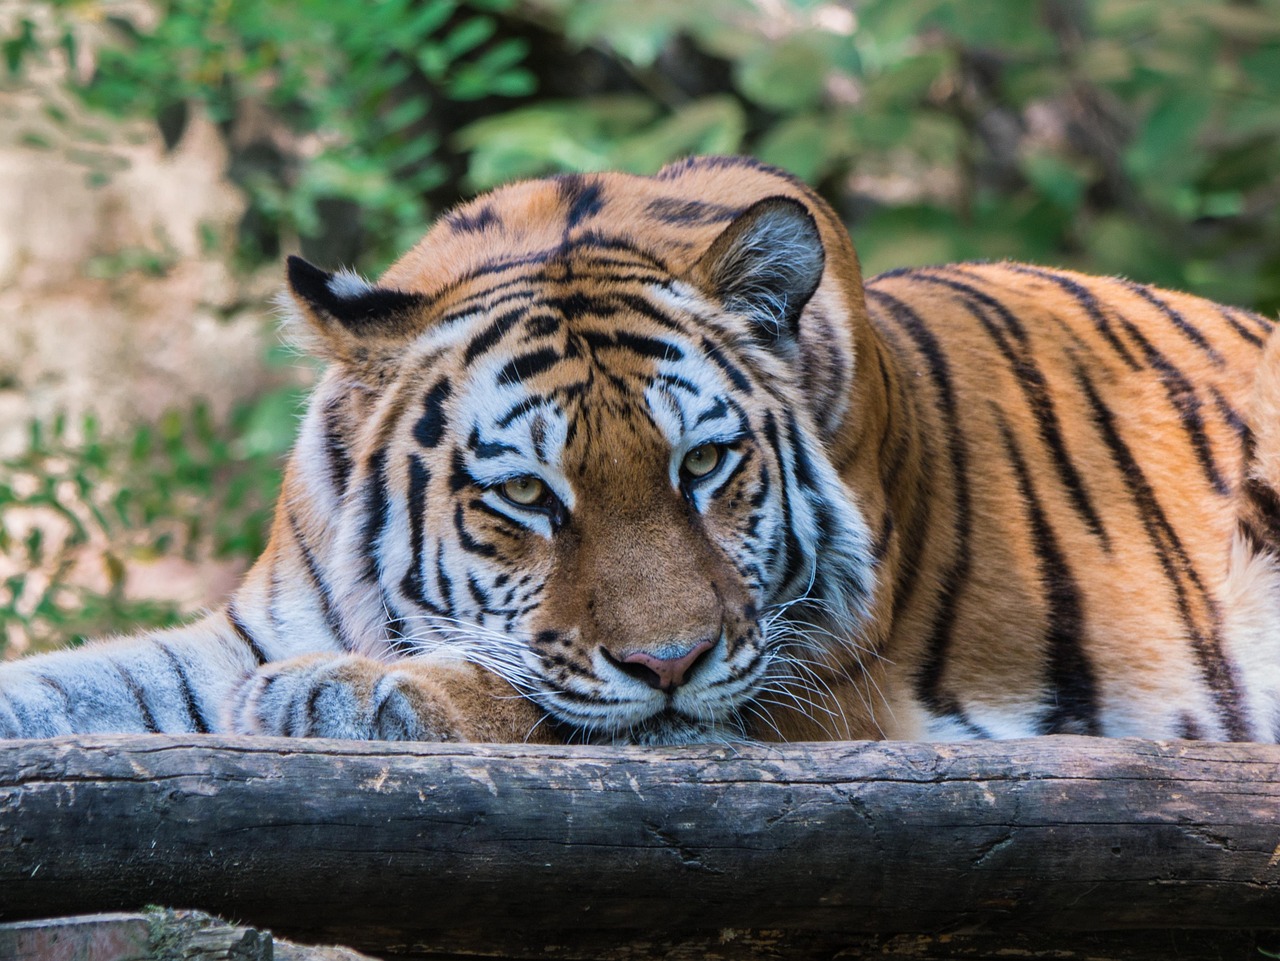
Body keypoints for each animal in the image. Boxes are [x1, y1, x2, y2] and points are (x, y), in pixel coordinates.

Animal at [2, 154, 1279, 746]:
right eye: (525, 493)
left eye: (701, 468)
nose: (668, 661)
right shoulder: (246, 628)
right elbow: (79, 684)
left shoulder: (813, 685)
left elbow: (533, 692)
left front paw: (350, 691)